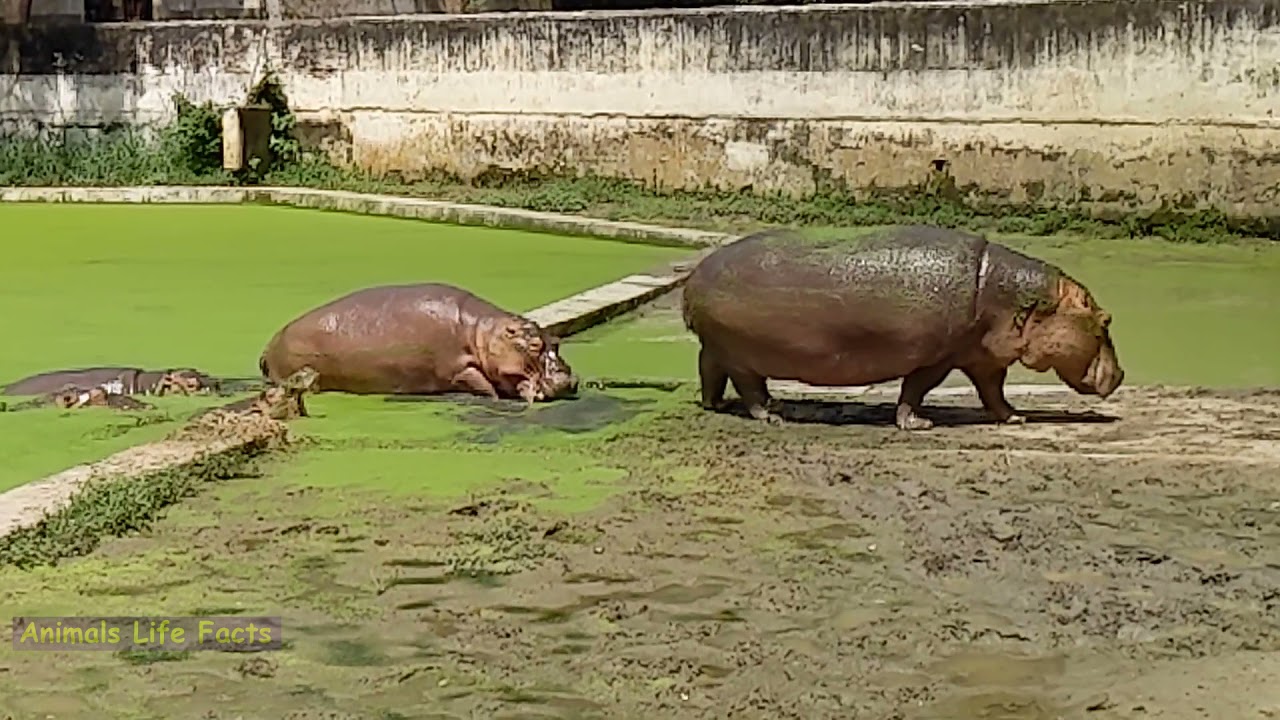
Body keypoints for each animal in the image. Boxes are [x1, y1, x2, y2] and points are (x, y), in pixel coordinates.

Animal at [258, 284, 579, 402]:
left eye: (556, 340)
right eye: (534, 345)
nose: (571, 380)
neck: (483, 332)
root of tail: (268, 345)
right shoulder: (458, 369)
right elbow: (483, 384)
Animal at [680, 225, 1124, 430]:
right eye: (1105, 320)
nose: (1120, 375)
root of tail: (695, 274)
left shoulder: (982, 357)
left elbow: (993, 392)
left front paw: (1015, 419)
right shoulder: (940, 358)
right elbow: (916, 389)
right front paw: (919, 425)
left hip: (717, 348)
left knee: (709, 371)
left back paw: (721, 405)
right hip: (741, 355)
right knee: (750, 389)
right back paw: (773, 416)